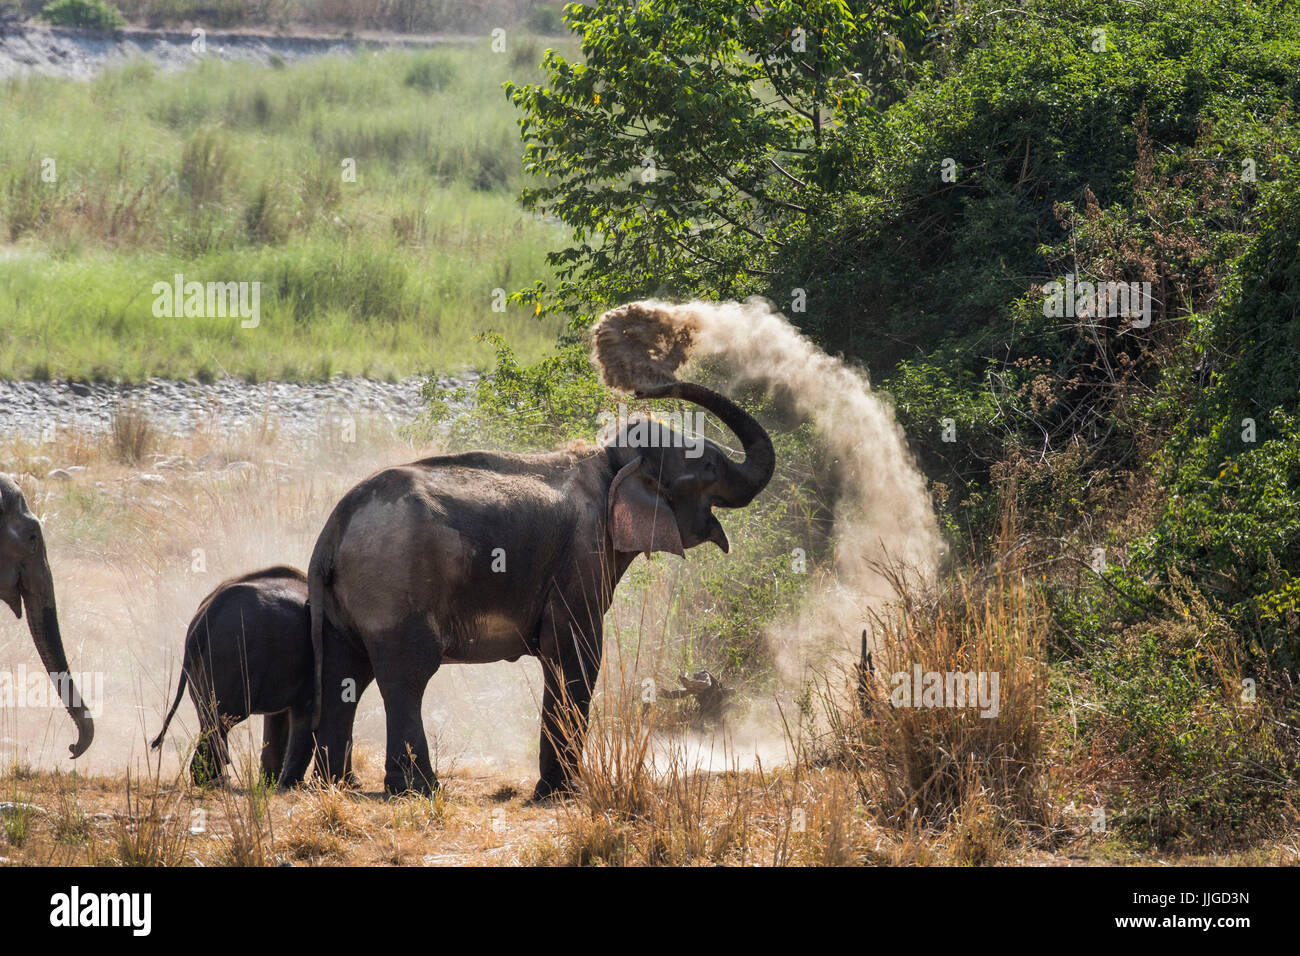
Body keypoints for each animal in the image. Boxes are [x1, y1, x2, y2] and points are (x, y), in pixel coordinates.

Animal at [151, 565, 351, 788]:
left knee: (208, 719)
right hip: (232, 654)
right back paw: (216, 781)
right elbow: (306, 713)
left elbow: (279, 719)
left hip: (204, 663)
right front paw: (290, 785)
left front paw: (271, 783)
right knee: (220, 720)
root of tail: (204, 617)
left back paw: (211, 780)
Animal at [306, 379, 774, 800]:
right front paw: (561, 793)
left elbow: (560, 657)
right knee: (407, 673)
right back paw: (416, 789)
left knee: (344, 672)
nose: (642, 389)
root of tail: (333, 529)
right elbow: (576, 654)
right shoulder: (581, 555)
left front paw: (554, 788)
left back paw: (339, 785)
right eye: (710, 467)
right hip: (393, 581)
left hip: (344, 601)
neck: (611, 461)